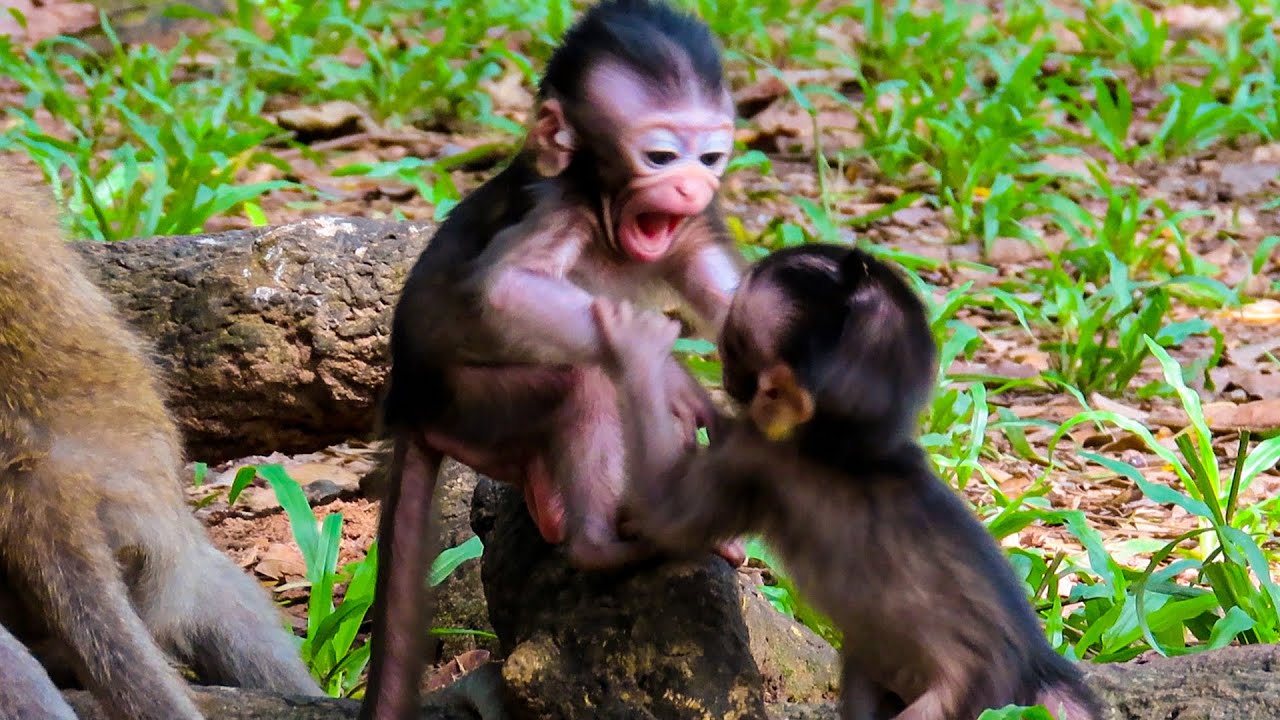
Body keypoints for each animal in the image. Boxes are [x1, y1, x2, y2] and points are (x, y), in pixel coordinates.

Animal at [362, 1, 749, 717]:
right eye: (661, 155)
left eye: (710, 157)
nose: (690, 184)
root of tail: (409, 407)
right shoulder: (559, 204)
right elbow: (505, 291)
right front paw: (660, 363)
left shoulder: (700, 223)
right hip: (468, 409)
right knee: (583, 384)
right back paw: (604, 546)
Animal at [591, 244, 1106, 720]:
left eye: (733, 346)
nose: (719, 362)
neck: (850, 452)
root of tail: (1037, 668)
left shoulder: (757, 459)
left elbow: (661, 511)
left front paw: (636, 349)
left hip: (966, 697)